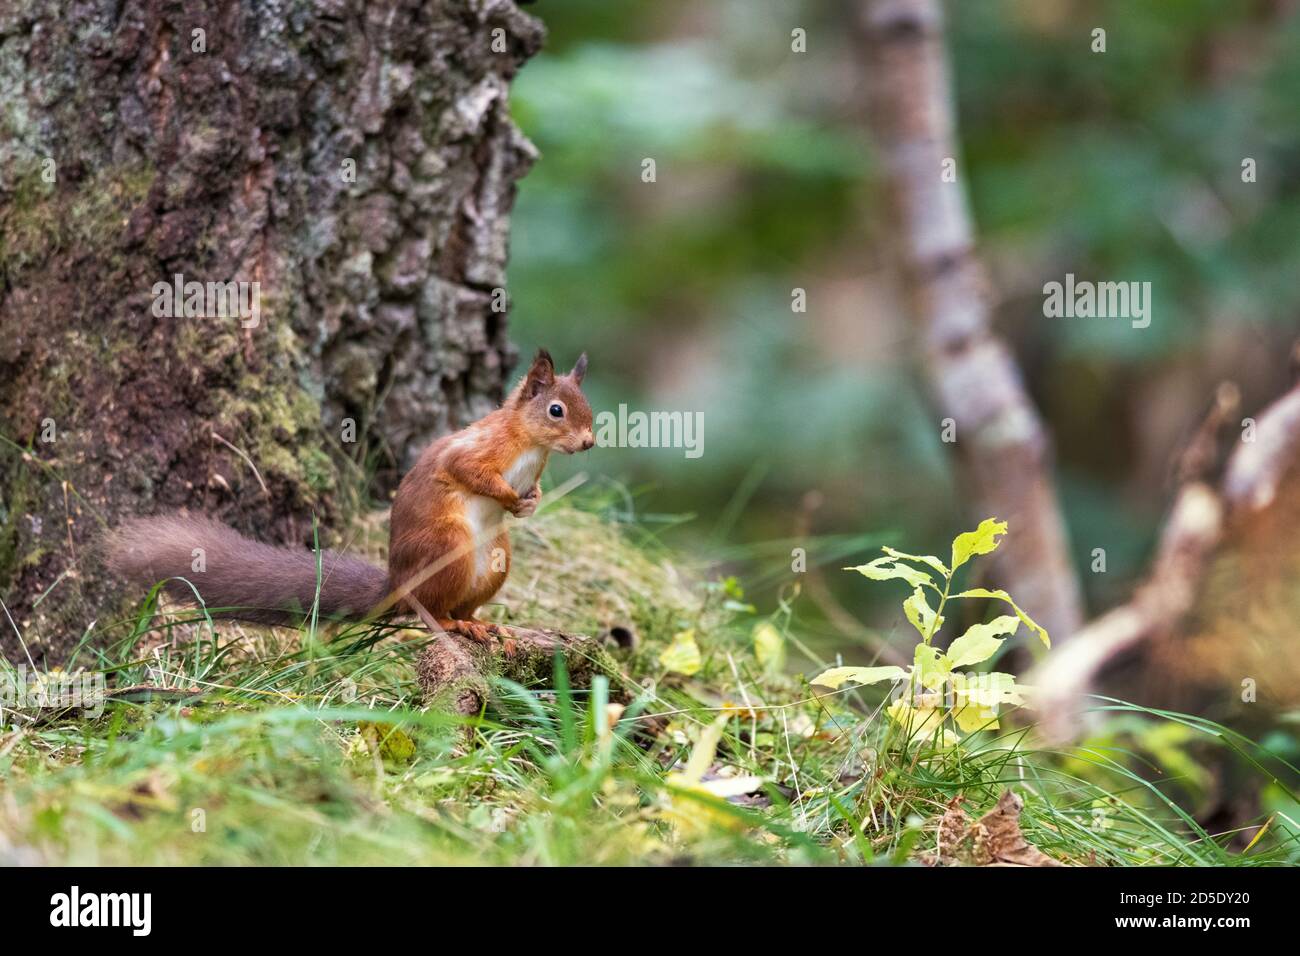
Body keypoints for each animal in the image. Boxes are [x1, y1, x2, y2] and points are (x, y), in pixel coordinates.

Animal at [107, 349, 594, 644]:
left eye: (586, 407)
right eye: (556, 410)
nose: (589, 442)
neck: (530, 446)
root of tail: (398, 585)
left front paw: (529, 501)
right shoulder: (476, 450)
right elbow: (468, 472)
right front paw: (509, 497)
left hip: (496, 558)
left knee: (461, 604)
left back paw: (481, 623)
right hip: (447, 547)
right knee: (431, 611)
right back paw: (453, 624)